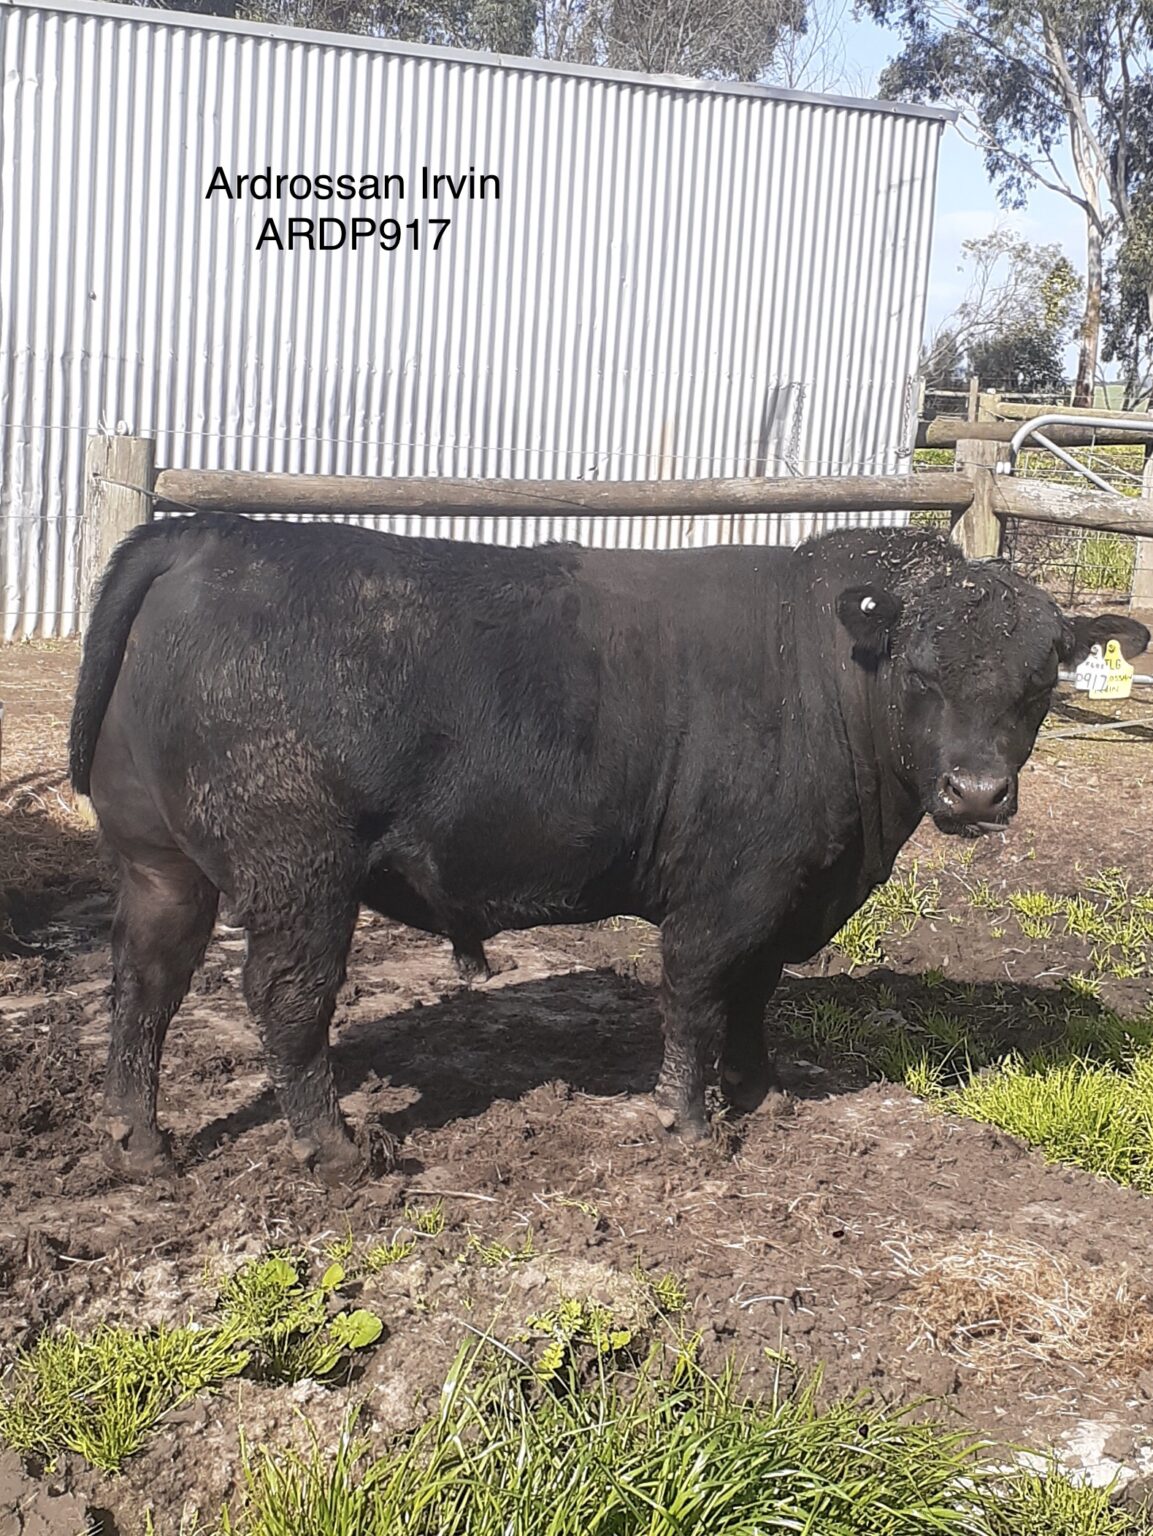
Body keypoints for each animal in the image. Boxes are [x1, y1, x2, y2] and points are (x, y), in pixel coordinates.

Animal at [69, 514, 1115, 1184]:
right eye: (920, 672)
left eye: (1036, 685)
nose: (975, 792)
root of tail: (216, 530)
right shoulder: (723, 892)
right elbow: (696, 999)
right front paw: (690, 1125)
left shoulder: (781, 896)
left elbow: (754, 995)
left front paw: (761, 1093)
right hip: (300, 872)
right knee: (286, 998)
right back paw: (333, 1152)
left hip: (158, 863)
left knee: (145, 983)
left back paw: (140, 1145)